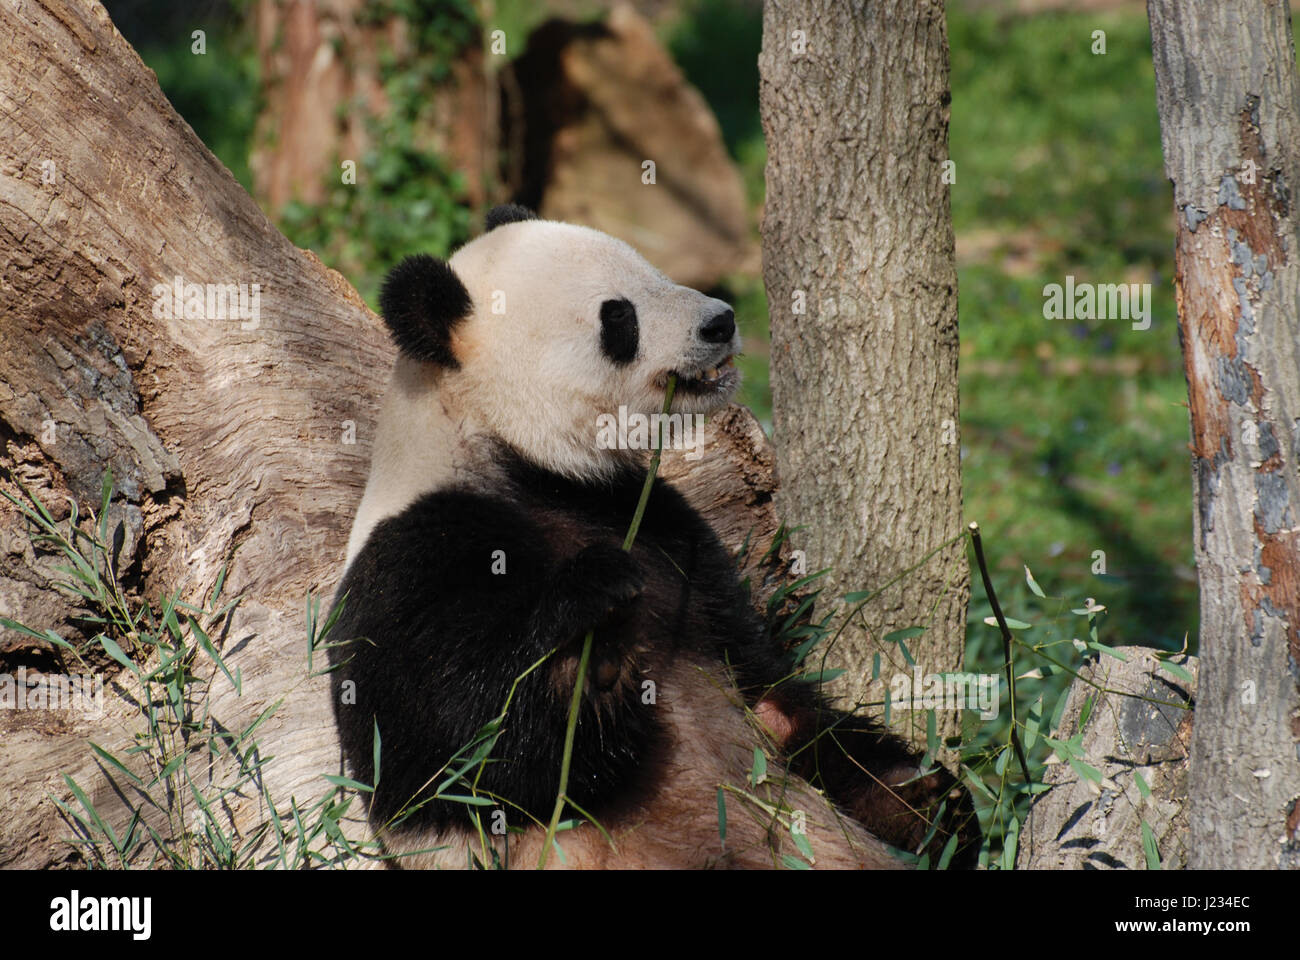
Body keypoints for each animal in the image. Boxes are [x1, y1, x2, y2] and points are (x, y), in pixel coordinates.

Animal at [328, 203, 975, 869]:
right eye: (618, 316)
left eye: (655, 272)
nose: (720, 321)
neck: (518, 460)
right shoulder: (416, 556)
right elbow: (456, 758)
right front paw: (589, 649)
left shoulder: (663, 526)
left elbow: (773, 697)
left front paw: (920, 795)